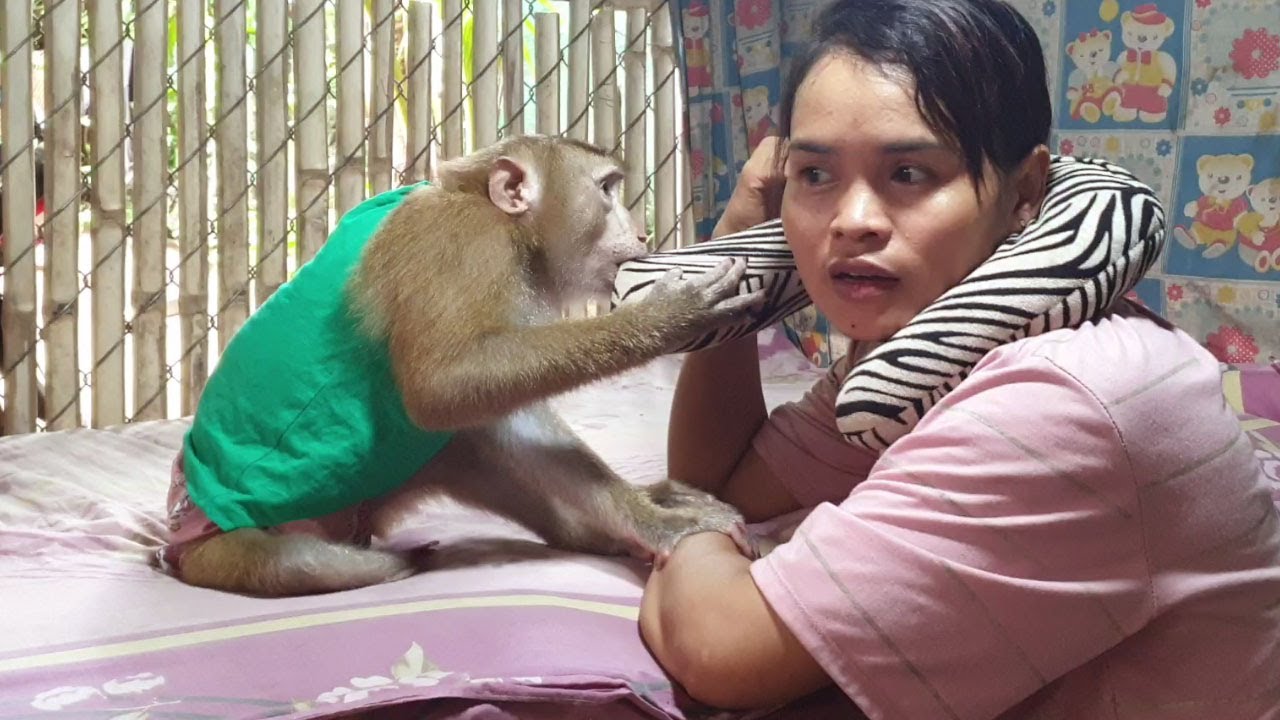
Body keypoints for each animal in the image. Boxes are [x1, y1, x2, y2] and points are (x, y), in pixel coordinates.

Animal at [162, 135, 764, 597]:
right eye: (606, 190)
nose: (639, 232)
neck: (497, 216)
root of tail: (184, 539)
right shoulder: (460, 240)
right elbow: (445, 385)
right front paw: (669, 317)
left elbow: (494, 414)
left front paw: (645, 511)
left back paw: (591, 531)